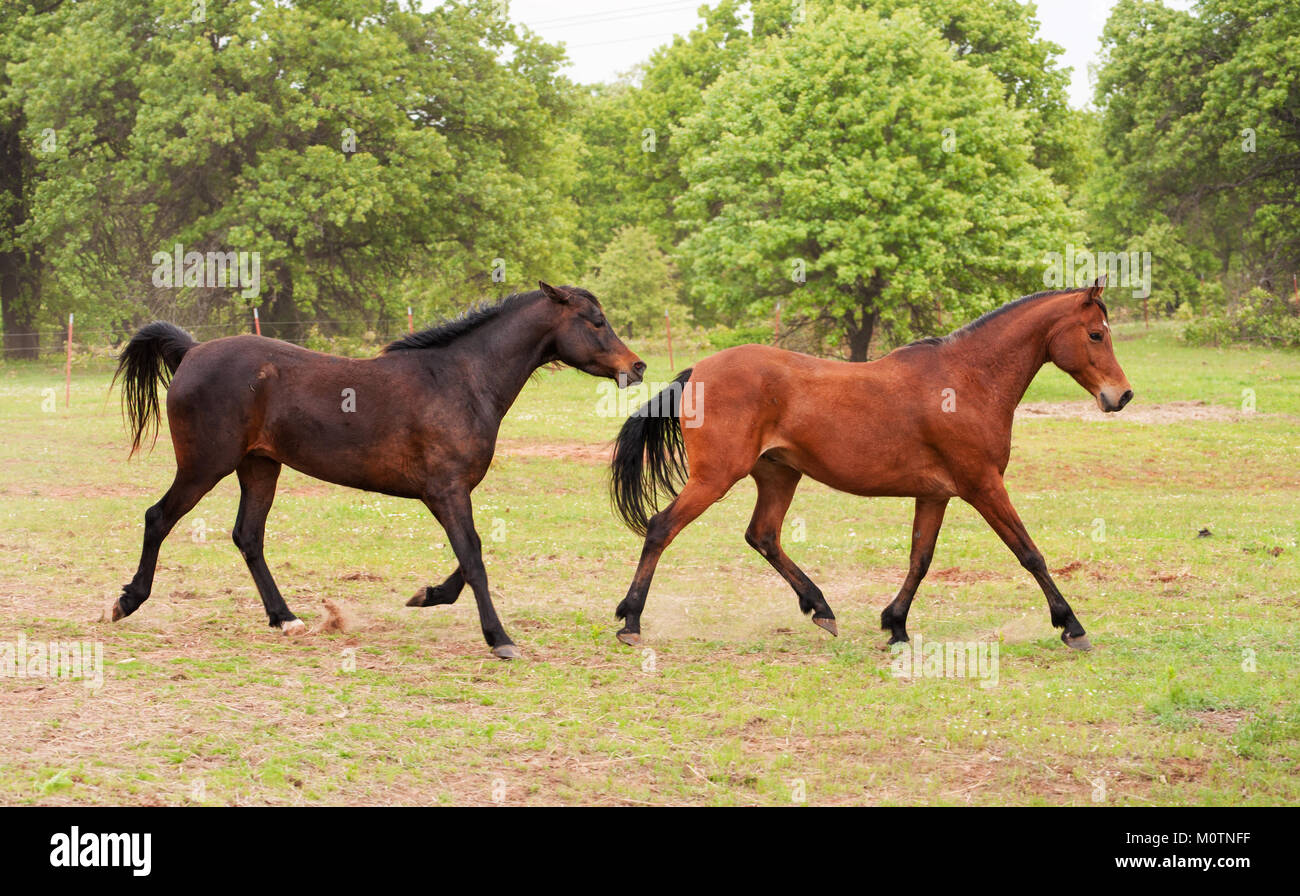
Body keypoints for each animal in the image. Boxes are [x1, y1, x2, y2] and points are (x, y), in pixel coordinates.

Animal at [111, 282, 645, 659]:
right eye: (597, 321)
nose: (637, 367)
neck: (460, 380)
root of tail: (192, 351)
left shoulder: (451, 493)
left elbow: (468, 557)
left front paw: (427, 595)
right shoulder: (446, 492)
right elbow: (473, 557)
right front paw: (499, 638)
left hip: (260, 467)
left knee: (248, 536)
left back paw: (285, 618)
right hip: (205, 465)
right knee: (159, 518)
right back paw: (128, 601)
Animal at [609, 277, 1131, 651]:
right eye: (1095, 334)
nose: (1121, 396)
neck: (968, 379)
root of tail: (697, 371)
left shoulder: (935, 495)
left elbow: (920, 559)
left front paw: (895, 624)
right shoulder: (983, 485)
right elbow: (1029, 553)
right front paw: (1071, 624)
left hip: (778, 473)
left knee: (764, 536)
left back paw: (820, 607)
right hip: (716, 477)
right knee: (661, 528)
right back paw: (631, 619)